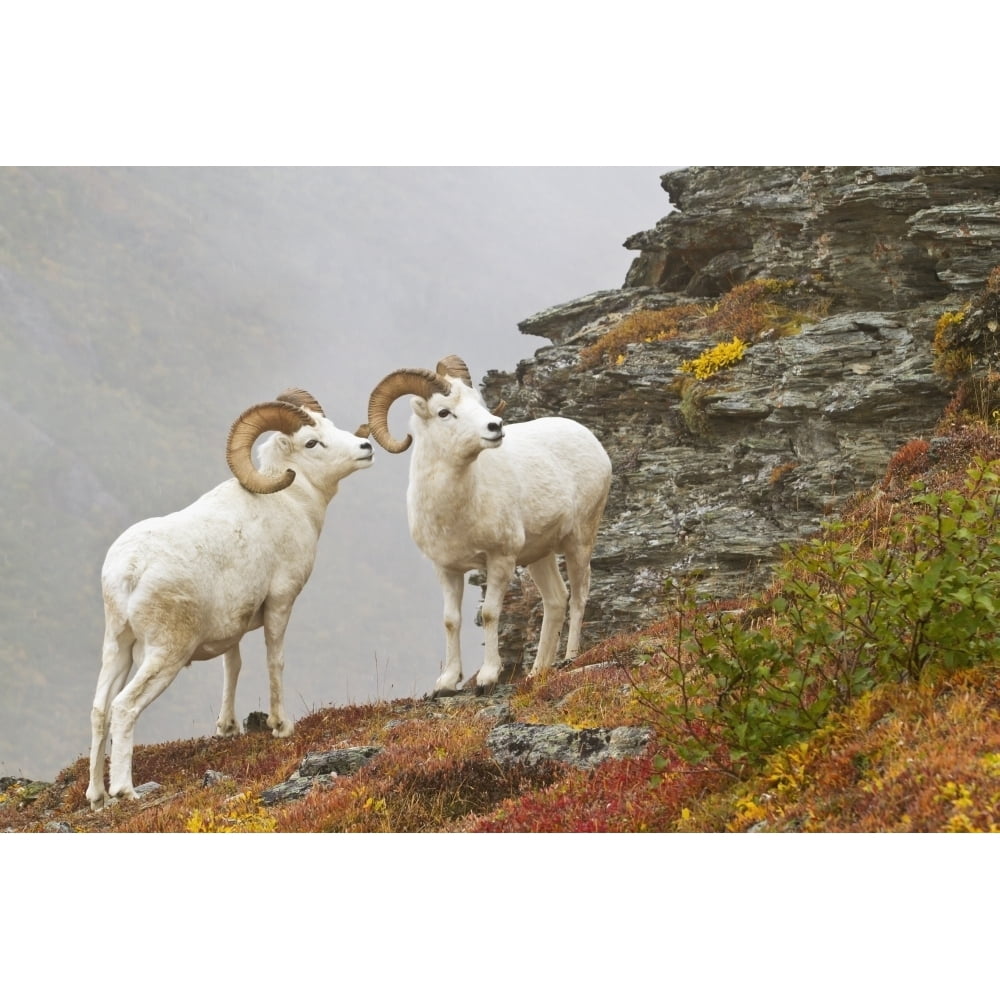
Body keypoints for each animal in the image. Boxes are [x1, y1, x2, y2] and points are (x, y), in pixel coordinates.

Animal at [86, 389, 373, 810]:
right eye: (311, 442)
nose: (366, 448)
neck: (292, 502)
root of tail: (131, 570)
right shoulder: (280, 601)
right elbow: (274, 660)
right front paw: (280, 727)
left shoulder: (231, 626)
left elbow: (232, 666)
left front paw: (228, 728)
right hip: (165, 654)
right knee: (124, 708)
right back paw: (126, 790)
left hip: (118, 646)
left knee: (100, 709)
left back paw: (97, 795)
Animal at [366, 355, 612, 695]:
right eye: (444, 412)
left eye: (478, 402)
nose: (495, 427)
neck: (456, 509)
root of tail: (590, 439)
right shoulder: (446, 569)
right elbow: (450, 620)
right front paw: (446, 682)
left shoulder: (500, 560)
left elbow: (490, 613)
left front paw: (488, 676)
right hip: (540, 555)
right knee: (555, 599)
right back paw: (537, 672)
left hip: (579, 541)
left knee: (579, 596)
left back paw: (569, 657)